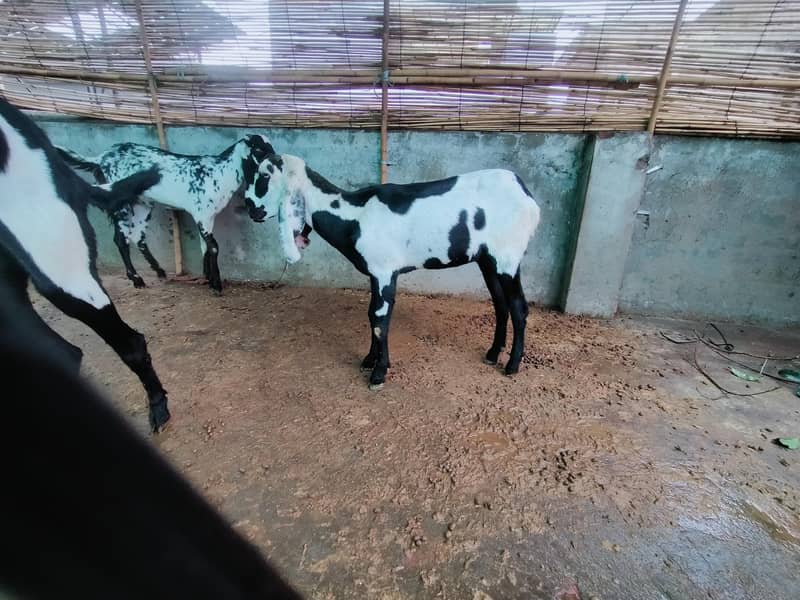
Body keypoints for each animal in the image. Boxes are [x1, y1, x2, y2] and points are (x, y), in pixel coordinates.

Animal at [57, 134, 275, 293]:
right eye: (259, 149)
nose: (276, 159)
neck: (220, 172)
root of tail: (99, 159)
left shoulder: (208, 216)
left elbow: (205, 246)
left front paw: (207, 277)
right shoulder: (202, 214)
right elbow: (213, 247)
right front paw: (216, 284)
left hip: (142, 204)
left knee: (138, 237)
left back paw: (159, 271)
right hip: (121, 203)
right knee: (121, 240)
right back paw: (137, 279)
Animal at [244, 154, 541, 390]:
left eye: (264, 176)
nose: (250, 210)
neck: (355, 216)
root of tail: (527, 196)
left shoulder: (385, 271)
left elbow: (380, 319)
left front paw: (378, 373)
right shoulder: (376, 274)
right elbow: (371, 314)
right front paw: (369, 360)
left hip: (508, 257)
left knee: (518, 307)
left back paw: (512, 365)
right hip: (488, 260)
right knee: (501, 304)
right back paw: (492, 354)